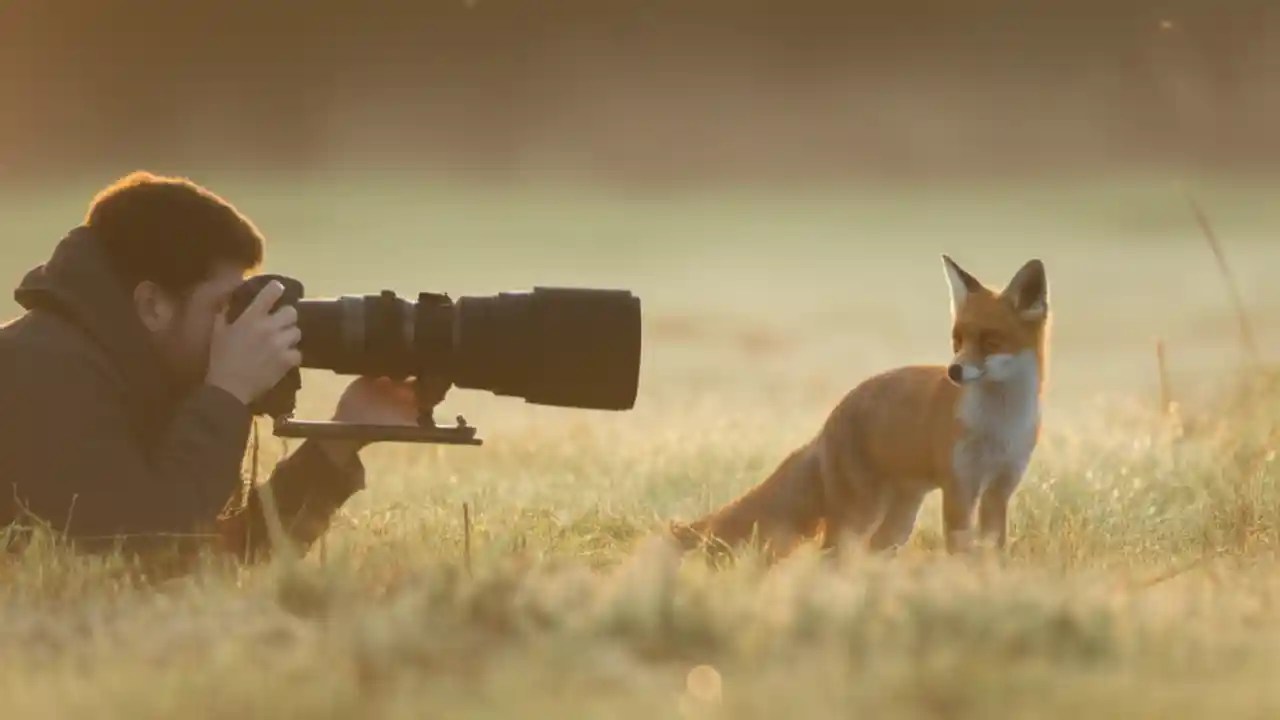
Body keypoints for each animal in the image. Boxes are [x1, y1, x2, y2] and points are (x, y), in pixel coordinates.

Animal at [671, 255, 1050, 559]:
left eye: (991, 341)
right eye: (957, 341)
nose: (953, 371)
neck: (999, 424)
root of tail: (831, 418)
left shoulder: (999, 490)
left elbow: (992, 549)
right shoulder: (960, 489)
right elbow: (961, 552)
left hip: (898, 518)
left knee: (870, 551)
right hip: (859, 513)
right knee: (831, 554)